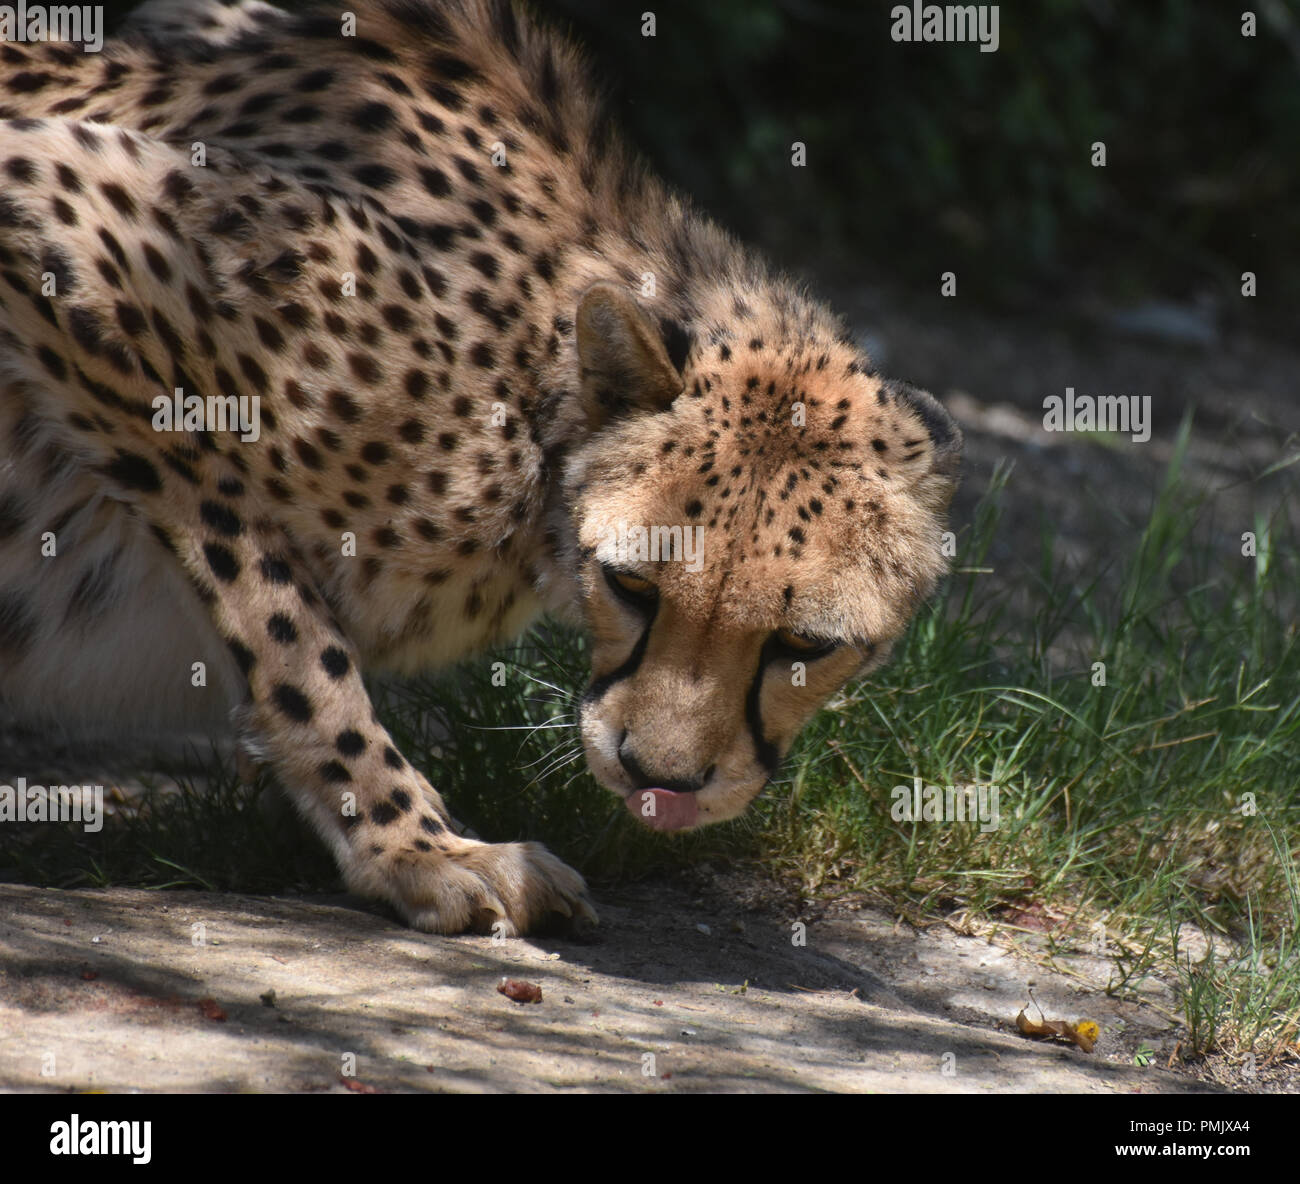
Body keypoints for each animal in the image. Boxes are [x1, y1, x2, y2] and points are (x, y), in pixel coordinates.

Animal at [0, 0, 963, 934]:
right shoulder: (70, 199)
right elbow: (291, 635)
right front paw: (415, 847)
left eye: (805, 645)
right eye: (633, 587)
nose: (662, 779)